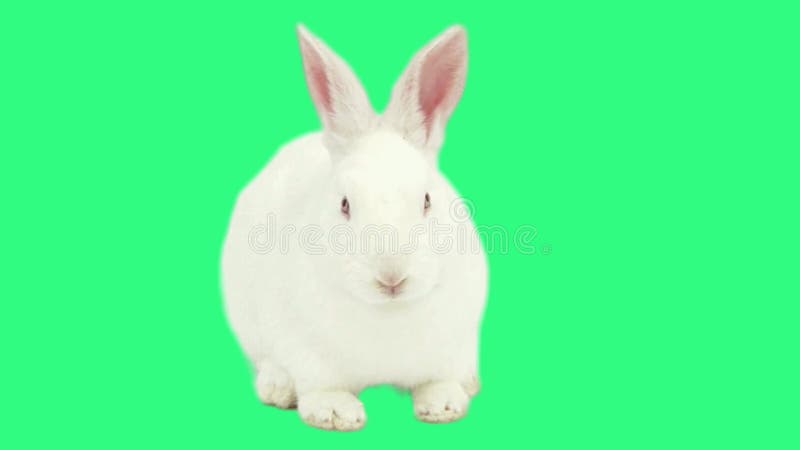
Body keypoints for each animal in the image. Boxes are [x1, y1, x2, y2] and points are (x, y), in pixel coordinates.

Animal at [221, 24, 487, 431]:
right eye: (345, 204)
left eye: (427, 200)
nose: (391, 276)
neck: (387, 313)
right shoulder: (304, 349)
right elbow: (322, 386)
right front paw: (336, 413)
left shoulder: (455, 343)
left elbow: (437, 379)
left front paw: (443, 405)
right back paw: (277, 388)